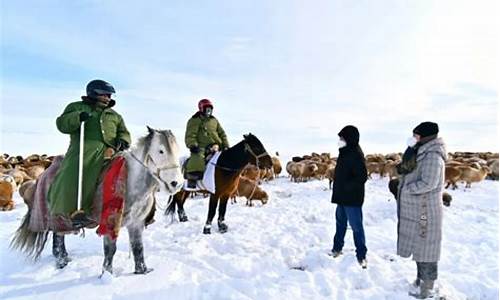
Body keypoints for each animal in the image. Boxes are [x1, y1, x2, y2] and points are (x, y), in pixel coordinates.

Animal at [11, 126, 184, 274]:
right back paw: (61, 262)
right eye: (161, 151)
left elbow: (138, 247)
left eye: (177, 151)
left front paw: (142, 271)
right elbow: (110, 250)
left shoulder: (136, 223)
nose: (176, 183)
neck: (131, 182)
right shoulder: (109, 223)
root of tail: (43, 175)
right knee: (58, 236)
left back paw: (64, 258)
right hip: (56, 216)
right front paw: (107, 274)